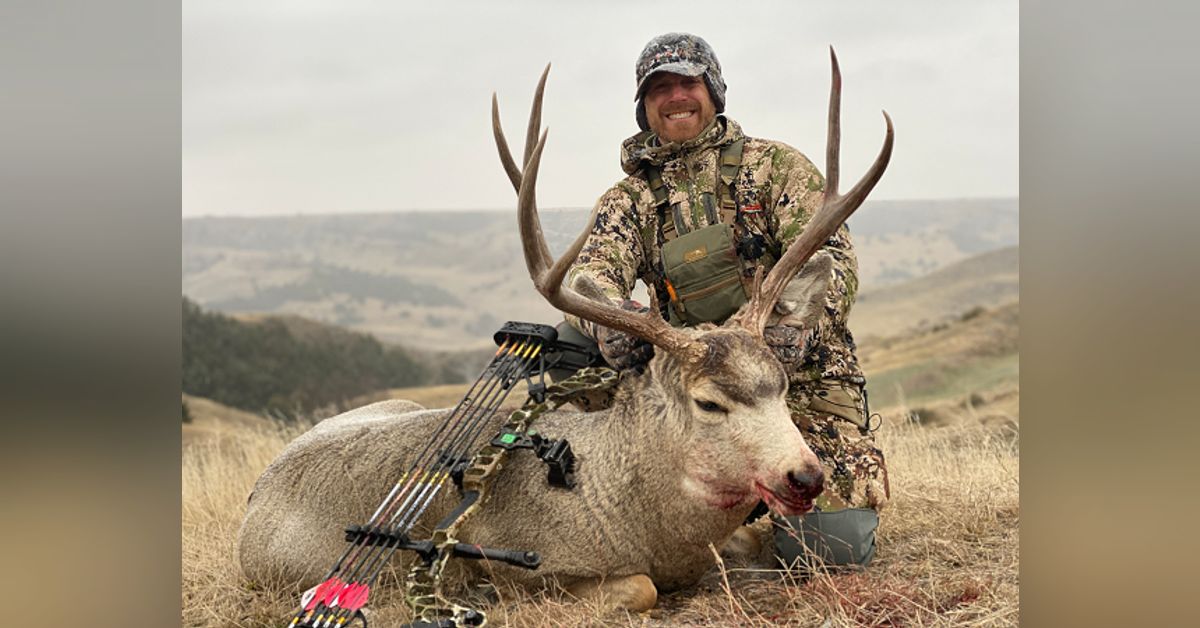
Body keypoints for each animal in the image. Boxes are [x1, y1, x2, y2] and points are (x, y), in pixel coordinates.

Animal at [237, 50, 892, 615]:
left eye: (781, 384)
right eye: (709, 402)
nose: (805, 475)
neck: (638, 516)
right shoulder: (527, 564)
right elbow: (640, 588)